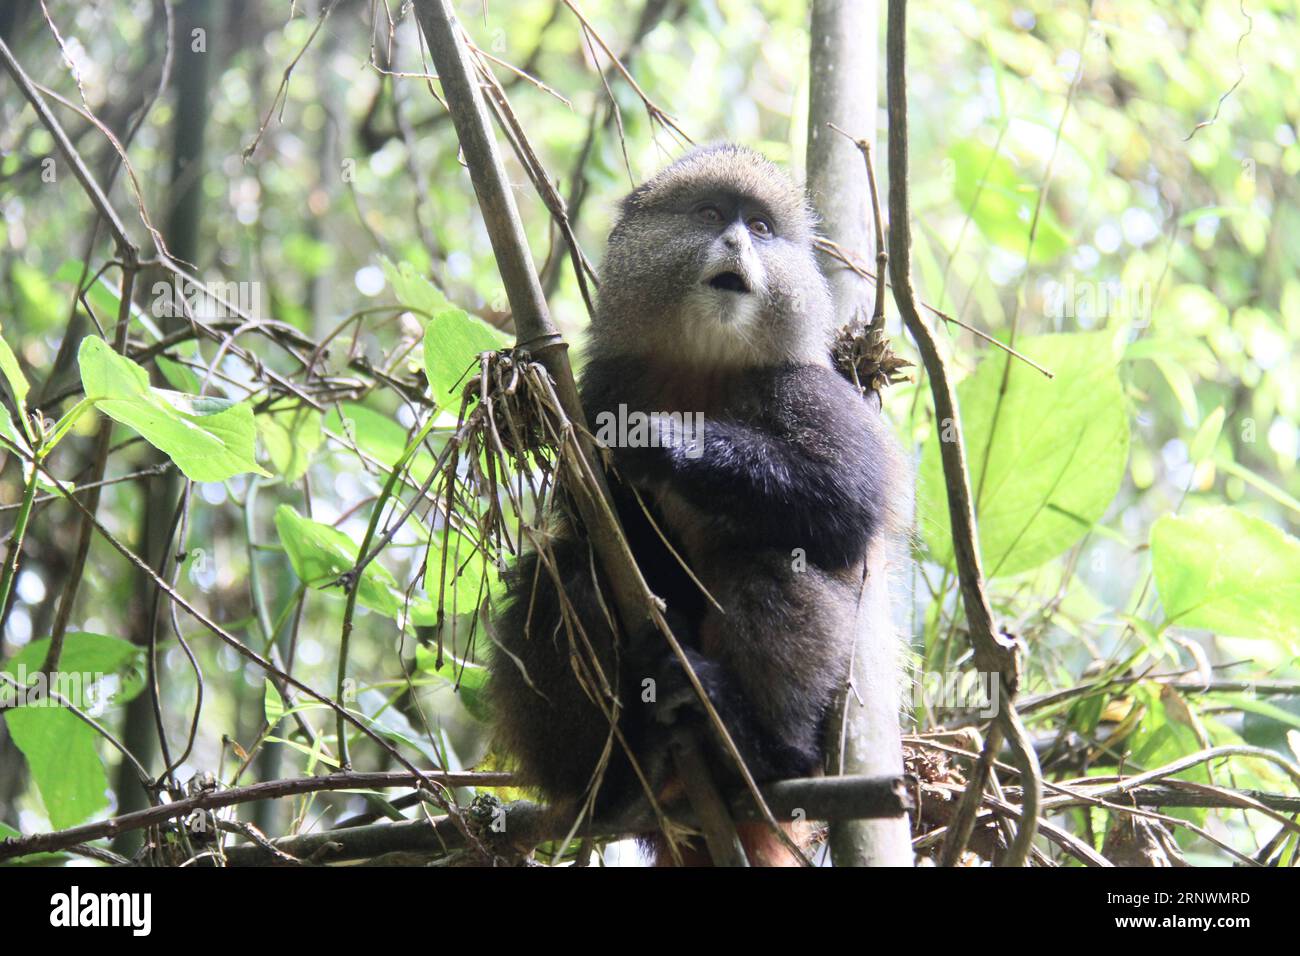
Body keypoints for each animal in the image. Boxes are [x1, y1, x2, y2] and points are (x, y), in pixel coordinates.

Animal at [486, 143, 906, 866]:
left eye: (760, 228)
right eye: (711, 215)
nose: (736, 241)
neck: (701, 365)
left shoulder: (809, 389)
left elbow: (846, 507)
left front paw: (668, 444)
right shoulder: (601, 387)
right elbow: (599, 532)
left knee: (765, 558)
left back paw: (756, 748)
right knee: (562, 576)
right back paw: (618, 779)